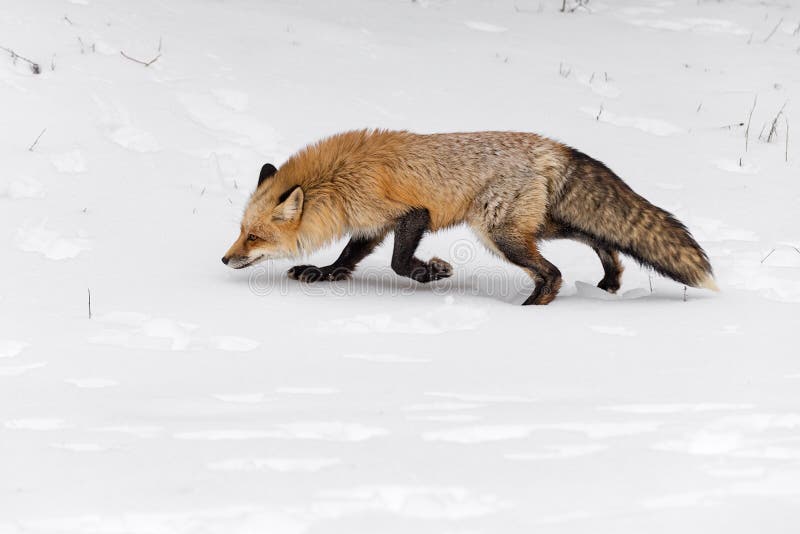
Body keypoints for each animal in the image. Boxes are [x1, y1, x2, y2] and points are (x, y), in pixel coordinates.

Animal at [222, 129, 717, 305]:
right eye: (241, 231)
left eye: (254, 237)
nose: (225, 260)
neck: (337, 180)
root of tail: (549, 147)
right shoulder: (373, 223)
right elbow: (347, 257)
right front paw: (322, 273)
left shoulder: (410, 213)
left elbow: (399, 262)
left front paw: (431, 273)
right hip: (539, 225)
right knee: (602, 239)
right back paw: (610, 282)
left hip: (501, 234)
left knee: (553, 272)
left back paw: (531, 310)